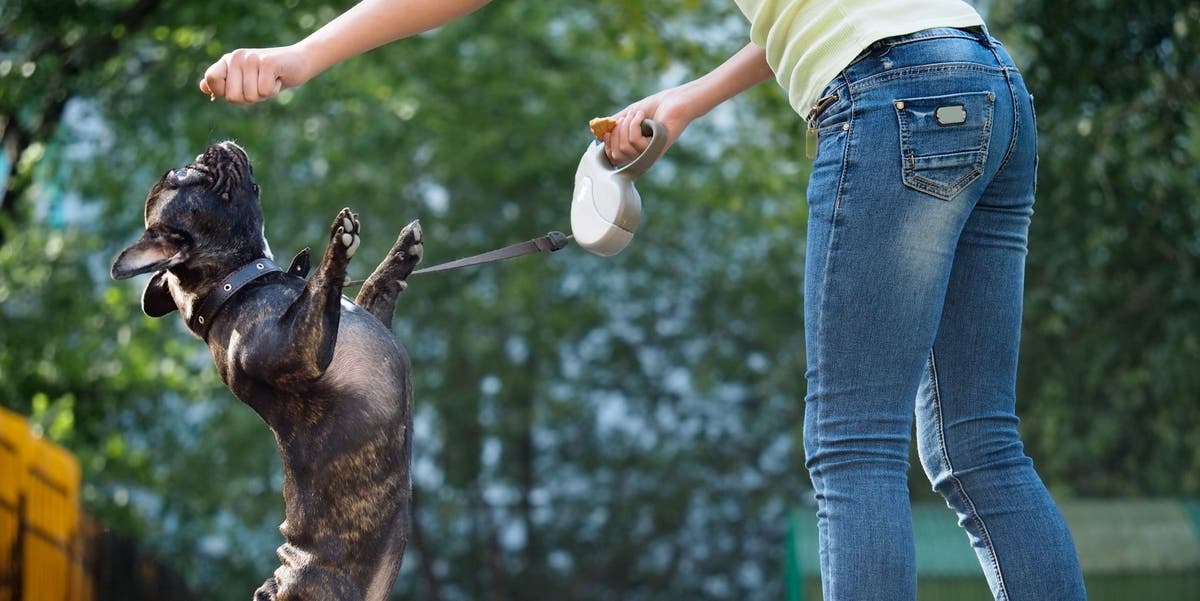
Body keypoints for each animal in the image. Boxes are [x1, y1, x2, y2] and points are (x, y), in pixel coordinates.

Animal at [113, 141, 422, 599]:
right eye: (183, 176)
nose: (212, 148)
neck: (238, 284)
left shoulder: (370, 315)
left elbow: (375, 287)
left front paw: (400, 255)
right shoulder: (302, 349)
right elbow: (321, 290)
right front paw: (338, 246)